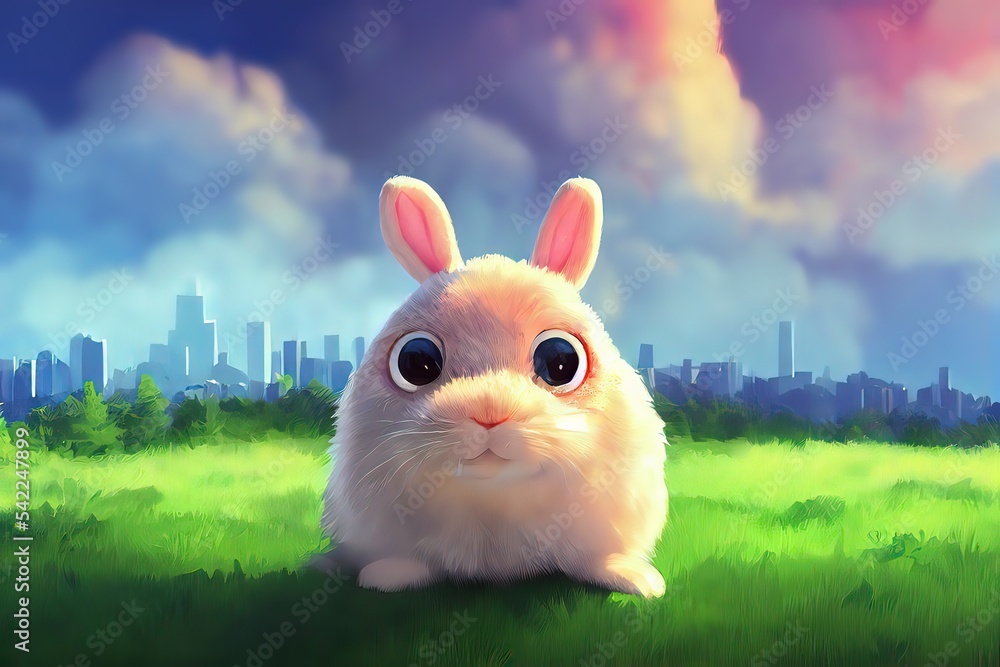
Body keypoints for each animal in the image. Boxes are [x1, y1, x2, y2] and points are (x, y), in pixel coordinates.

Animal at [321, 175, 668, 598]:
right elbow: (401, 559)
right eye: (416, 361)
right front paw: (387, 577)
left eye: (561, 361)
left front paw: (637, 579)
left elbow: (600, 557)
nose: (489, 413)